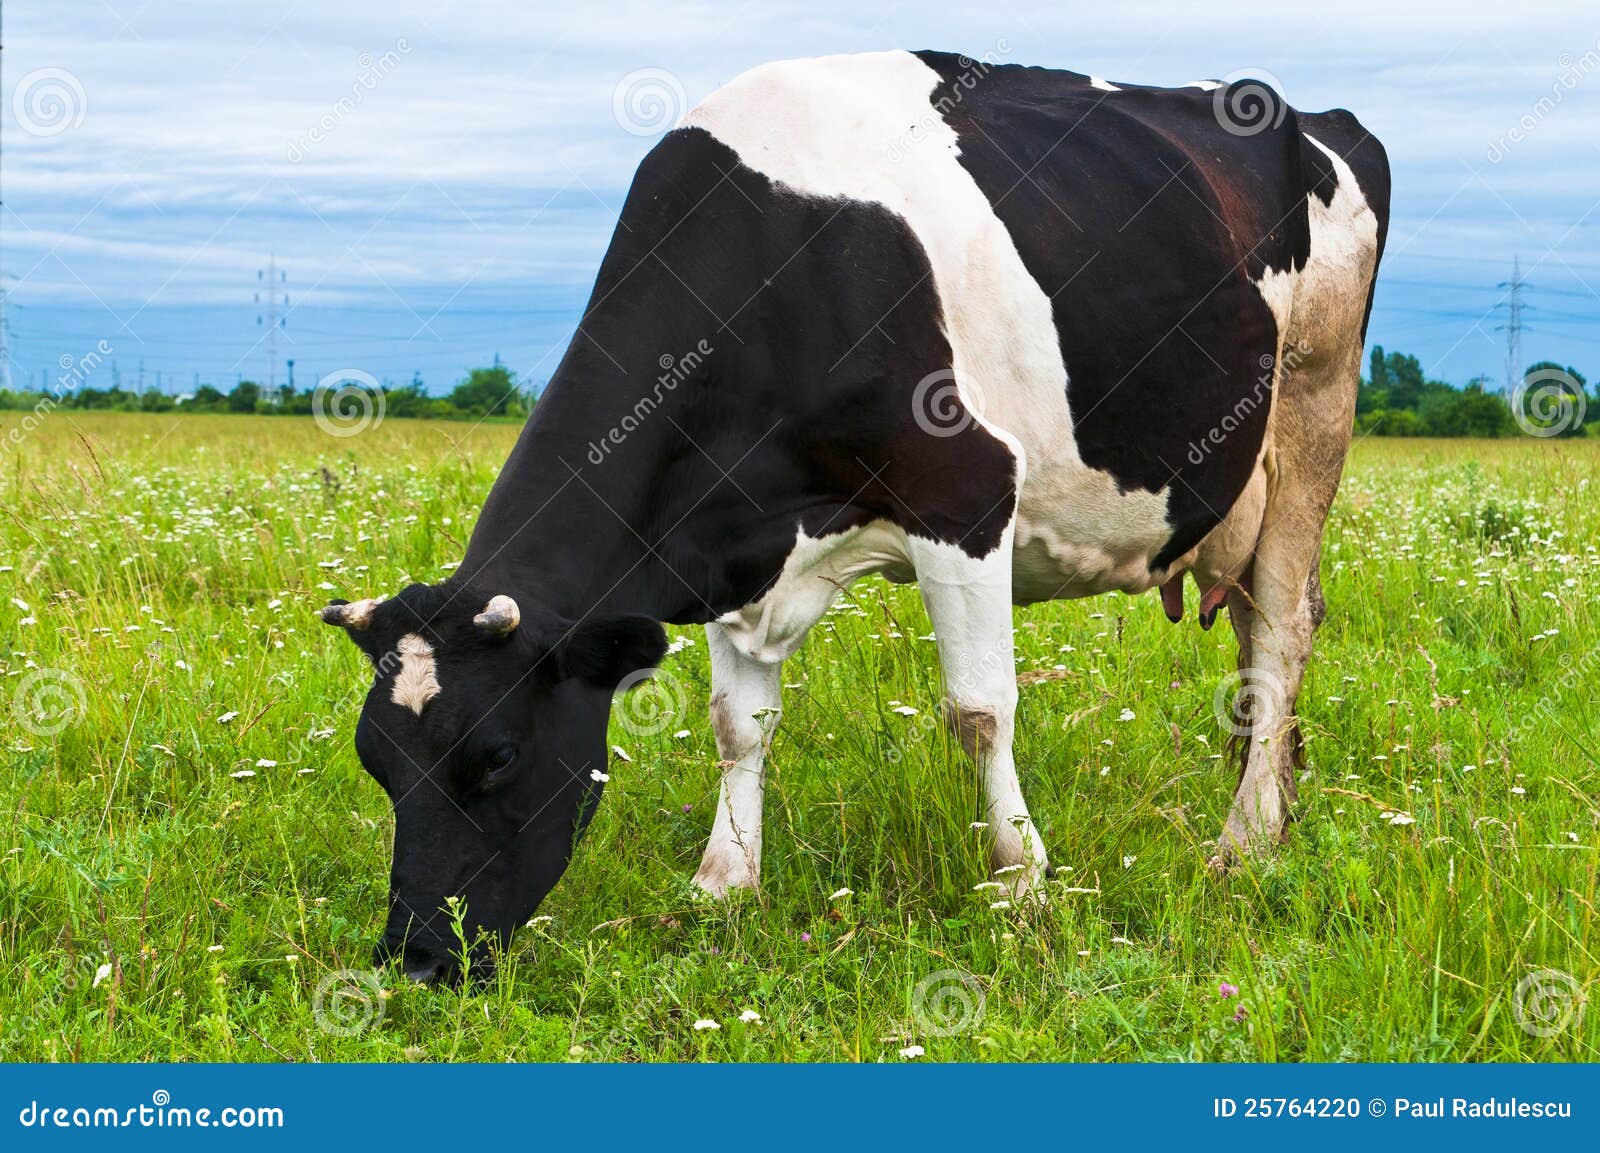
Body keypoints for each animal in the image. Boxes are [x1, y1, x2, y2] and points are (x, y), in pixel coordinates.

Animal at [322, 50, 1389, 982]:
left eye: (496, 754)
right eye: (376, 761)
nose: (416, 958)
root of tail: (1312, 116)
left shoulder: (966, 491)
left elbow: (979, 709)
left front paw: (1022, 883)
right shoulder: (731, 544)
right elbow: (737, 723)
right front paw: (723, 883)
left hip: (1315, 409)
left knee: (1281, 632)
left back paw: (1242, 841)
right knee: (1256, 635)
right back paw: (1275, 805)